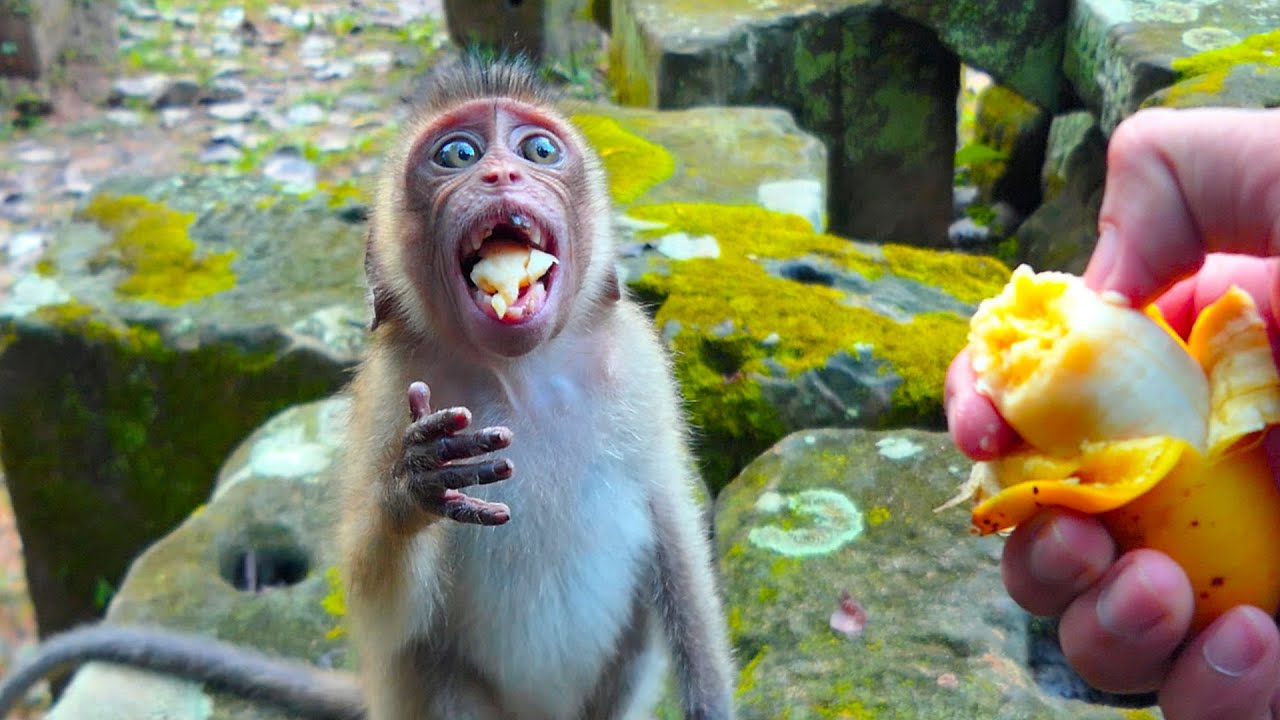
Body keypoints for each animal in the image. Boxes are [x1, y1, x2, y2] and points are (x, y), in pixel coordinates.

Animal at [338, 55, 736, 719]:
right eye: (458, 153)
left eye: (540, 149)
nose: (501, 172)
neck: (521, 377)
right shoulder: (387, 390)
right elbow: (383, 617)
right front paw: (415, 480)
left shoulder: (641, 365)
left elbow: (672, 525)